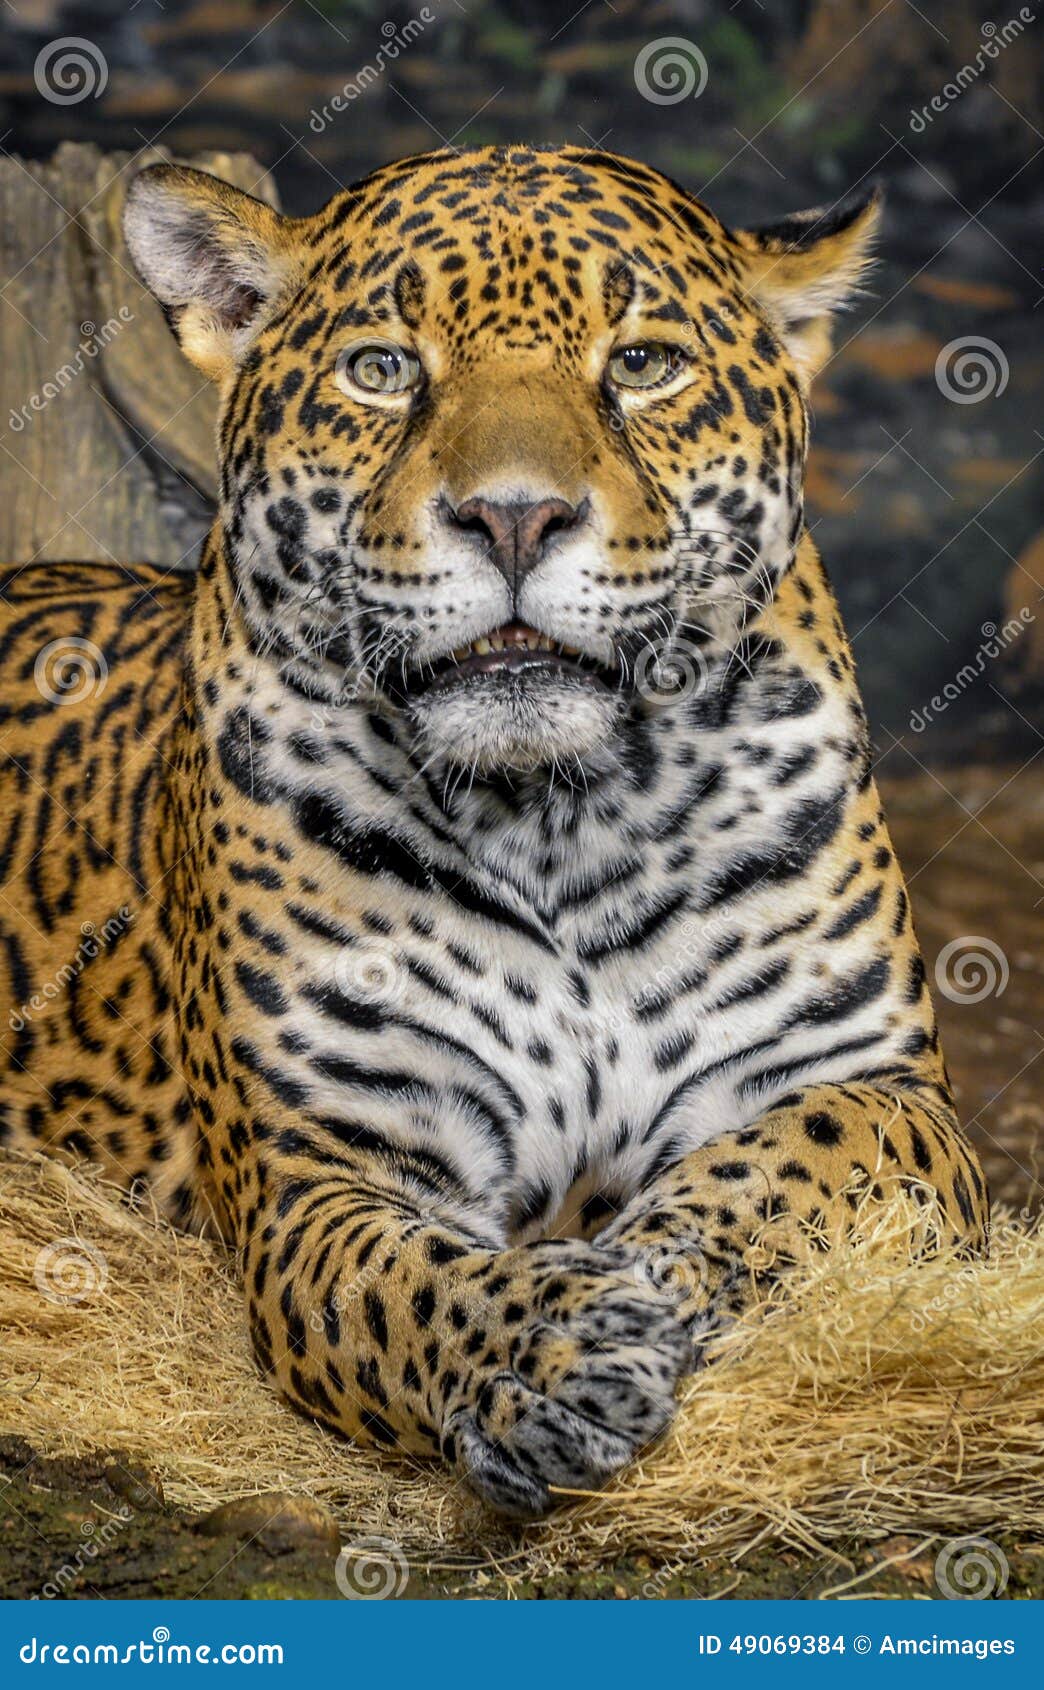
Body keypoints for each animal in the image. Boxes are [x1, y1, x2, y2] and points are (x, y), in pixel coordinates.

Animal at [0, 144, 988, 1518]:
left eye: (643, 364)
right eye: (381, 369)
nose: (515, 518)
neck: (562, 816)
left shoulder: (883, 1082)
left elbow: (798, 1157)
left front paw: (654, 1266)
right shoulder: (322, 1171)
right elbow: (410, 1287)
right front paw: (557, 1353)